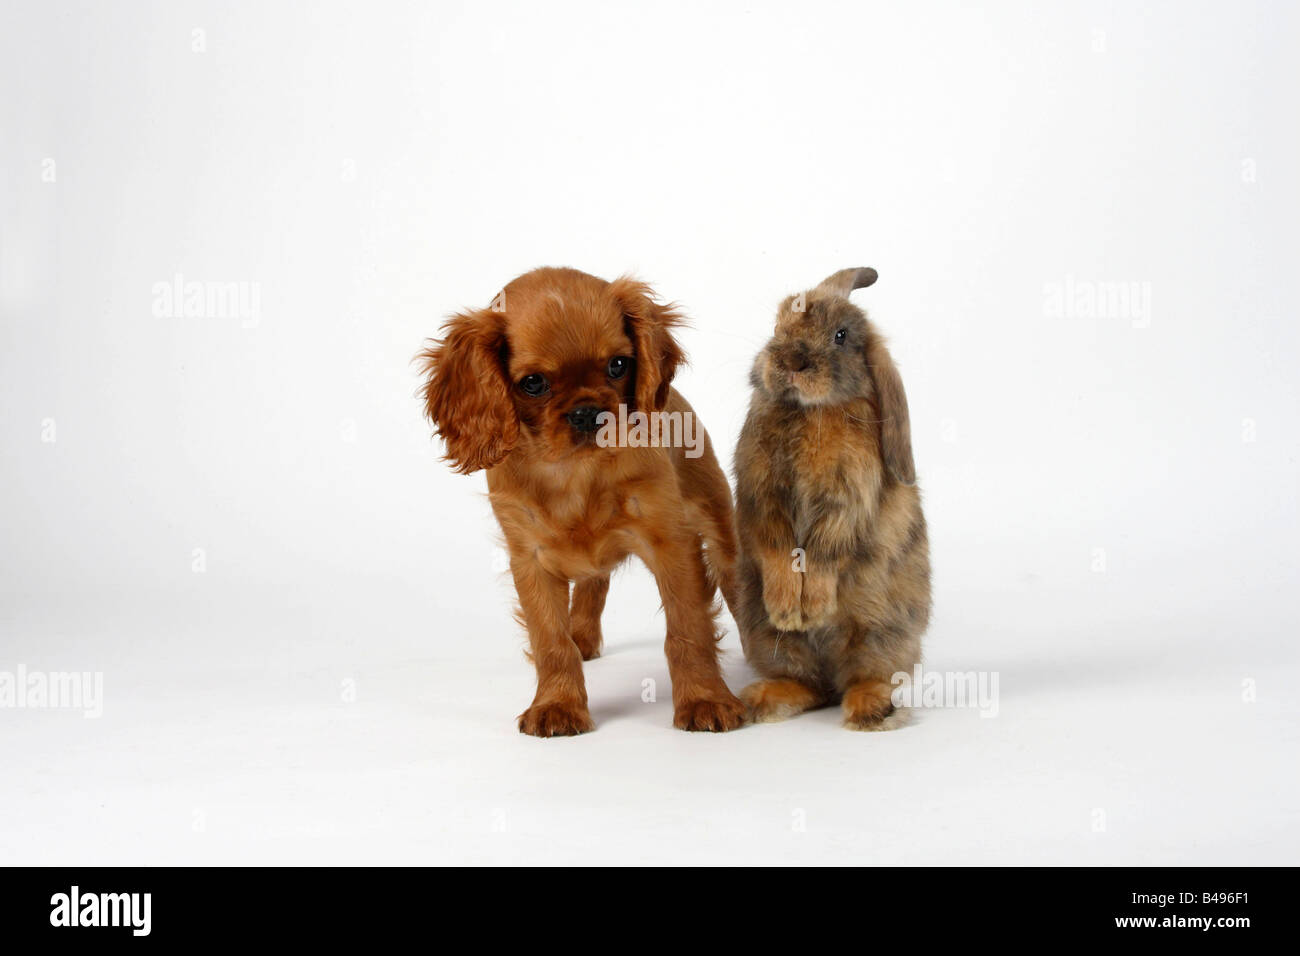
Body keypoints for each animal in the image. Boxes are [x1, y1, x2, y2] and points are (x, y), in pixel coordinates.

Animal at [733, 267, 930, 730]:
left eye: (841, 335)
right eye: (778, 323)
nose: (791, 362)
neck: (812, 410)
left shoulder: (847, 498)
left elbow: (823, 550)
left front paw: (814, 608)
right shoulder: (762, 493)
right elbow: (778, 548)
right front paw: (790, 611)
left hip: (883, 632)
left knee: (864, 678)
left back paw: (874, 711)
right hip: (762, 631)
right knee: (809, 686)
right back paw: (760, 700)